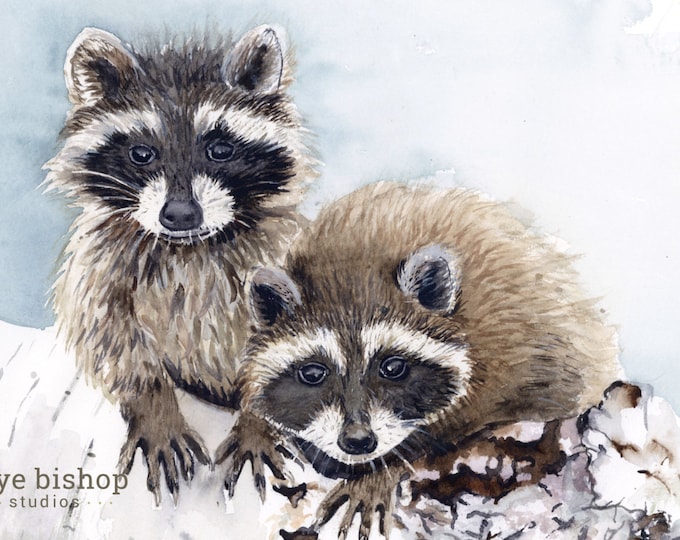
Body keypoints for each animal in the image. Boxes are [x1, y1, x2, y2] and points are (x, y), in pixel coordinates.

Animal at [44, 25, 316, 503]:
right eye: (141, 154)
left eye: (220, 149)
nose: (181, 214)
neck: (188, 247)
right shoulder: (101, 267)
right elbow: (110, 335)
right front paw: (155, 406)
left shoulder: (278, 260)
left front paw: (257, 422)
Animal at [237, 181, 622, 538]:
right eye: (313, 373)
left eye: (393, 367)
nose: (358, 441)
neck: (354, 266)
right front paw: (253, 423)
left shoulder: (524, 345)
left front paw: (386, 466)